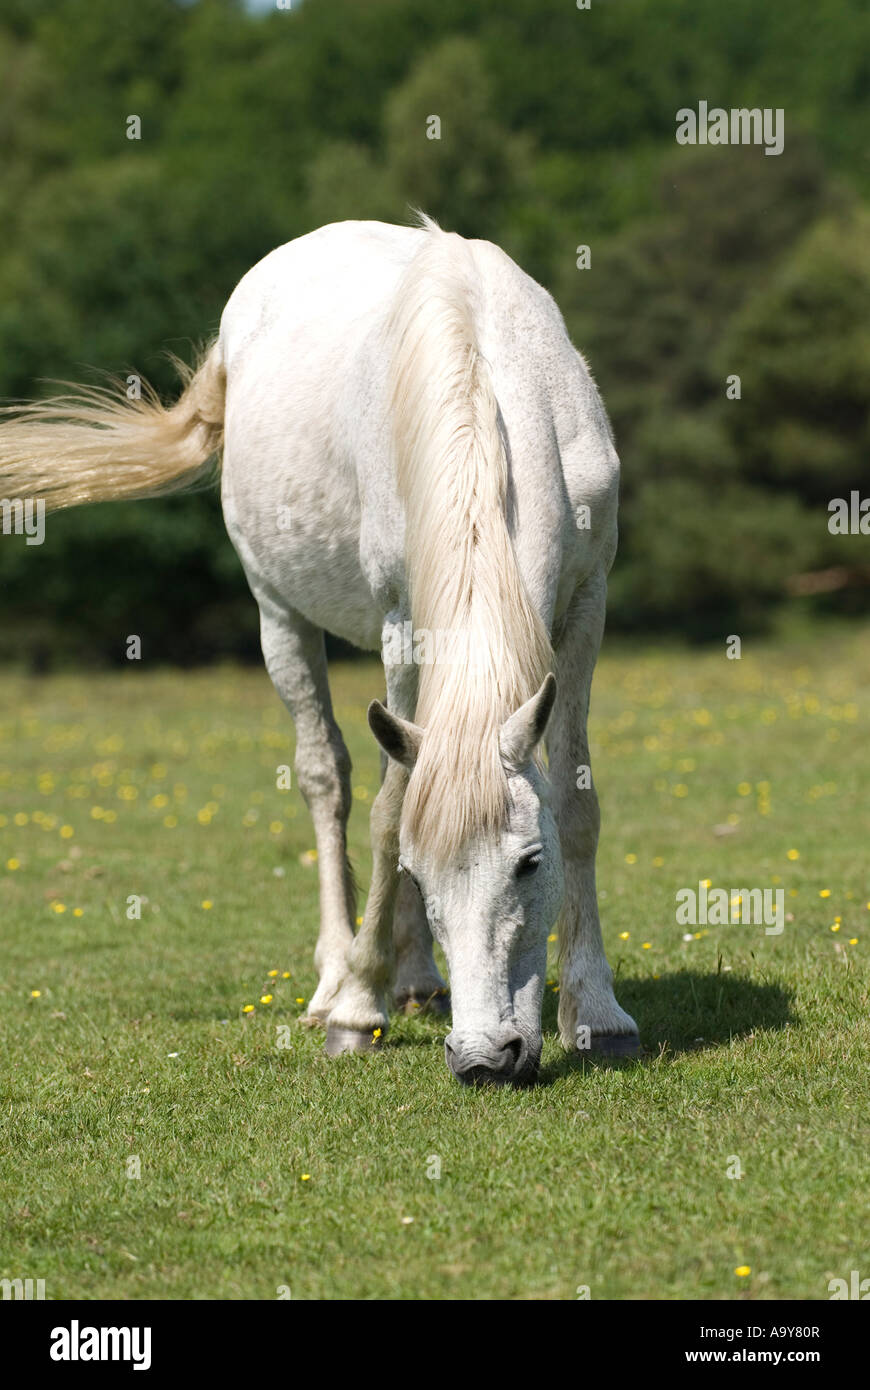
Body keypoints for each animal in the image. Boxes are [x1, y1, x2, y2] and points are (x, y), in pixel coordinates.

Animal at [0, 215, 639, 1084]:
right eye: (421, 873)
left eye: (529, 863)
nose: (485, 1057)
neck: (493, 394)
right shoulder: (404, 622)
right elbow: (388, 811)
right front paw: (357, 1010)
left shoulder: (587, 603)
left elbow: (575, 799)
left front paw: (598, 1013)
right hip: (279, 614)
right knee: (326, 775)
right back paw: (343, 975)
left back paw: (415, 978)